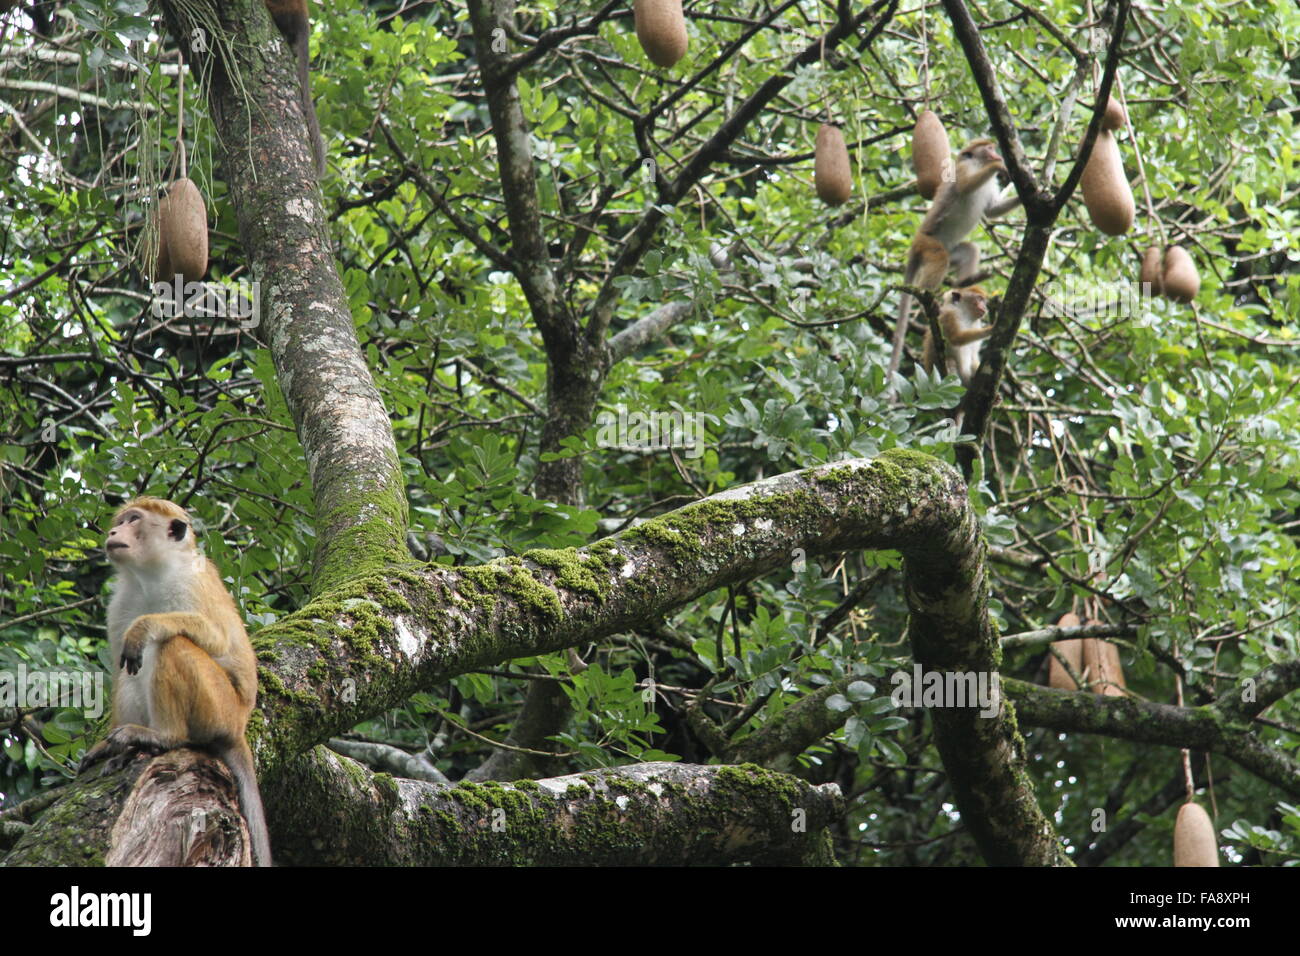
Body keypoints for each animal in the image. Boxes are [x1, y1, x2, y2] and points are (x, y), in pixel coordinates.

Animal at [79, 497, 272, 867]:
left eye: (134, 520)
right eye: (120, 521)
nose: (113, 533)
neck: (151, 575)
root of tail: (240, 724)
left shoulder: (192, 581)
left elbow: (216, 637)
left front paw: (145, 625)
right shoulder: (121, 601)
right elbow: (119, 663)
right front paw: (103, 746)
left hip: (219, 707)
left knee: (172, 644)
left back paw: (165, 736)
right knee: (132, 668)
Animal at [887, 138, 1019, 389]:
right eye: (988, 148)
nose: (996, 153)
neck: (977, 164)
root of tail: (916, 242)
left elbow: (992, 210)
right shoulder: (963, 170)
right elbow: (966, 186)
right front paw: (997, 167)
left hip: (951, 247)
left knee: (969, 251)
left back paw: (967, 280)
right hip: (929, 243)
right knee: (940, 259)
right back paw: (927, 296)